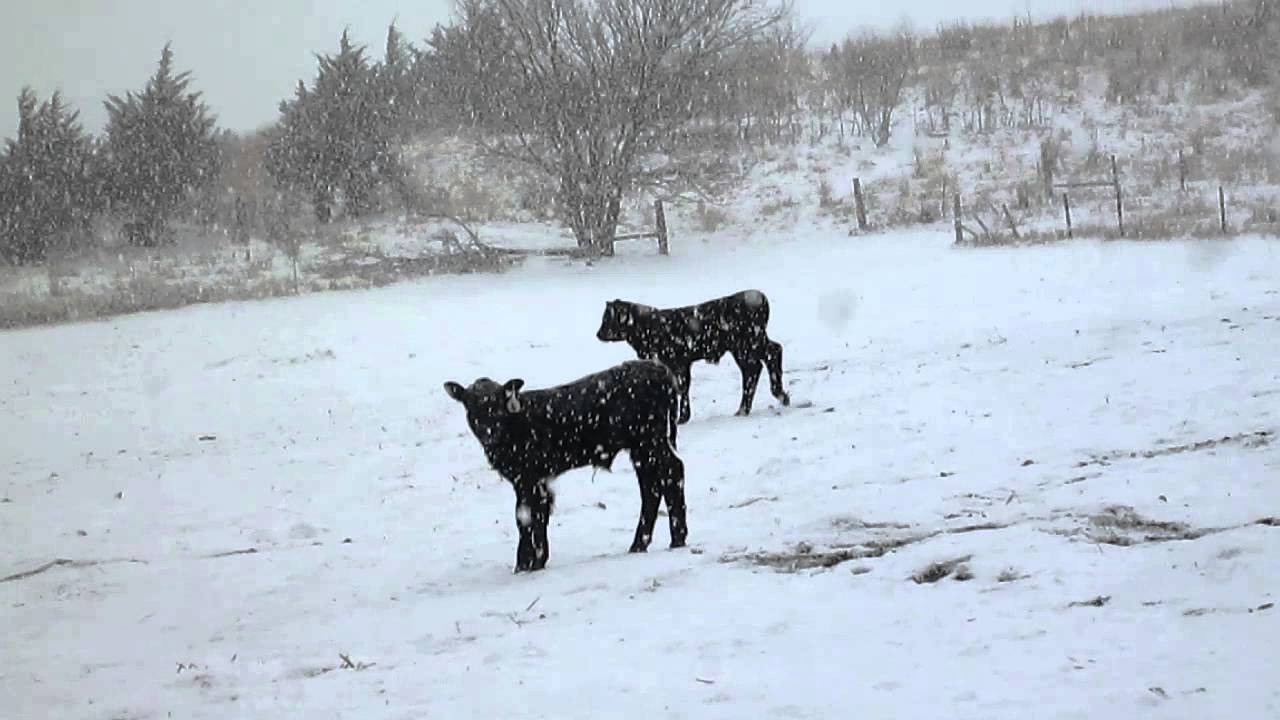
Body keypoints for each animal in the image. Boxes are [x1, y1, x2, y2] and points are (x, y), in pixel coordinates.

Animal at [443, 359, 687, 573]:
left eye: (498, 402)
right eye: (470, 405)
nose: (488, 431)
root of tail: (660, 370)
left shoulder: (528, 476)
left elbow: (527, 516)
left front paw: (526, 565)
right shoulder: (534, 479)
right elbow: (533, 514)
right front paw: (535, 561)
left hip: (649, 439)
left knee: (672, 472)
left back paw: (677, 539)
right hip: (641, 448)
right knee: (651, 486)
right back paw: (640, 544)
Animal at [595, 289, 790, 424]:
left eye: (607, 318)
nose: (599, 334)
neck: (648, 326)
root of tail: (758, 297)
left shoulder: (678, 363)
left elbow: (682, 387)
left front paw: (681, 418)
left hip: (747, 346)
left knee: (761, 363)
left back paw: (761, 402)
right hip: (747, 347)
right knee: (764, 360)